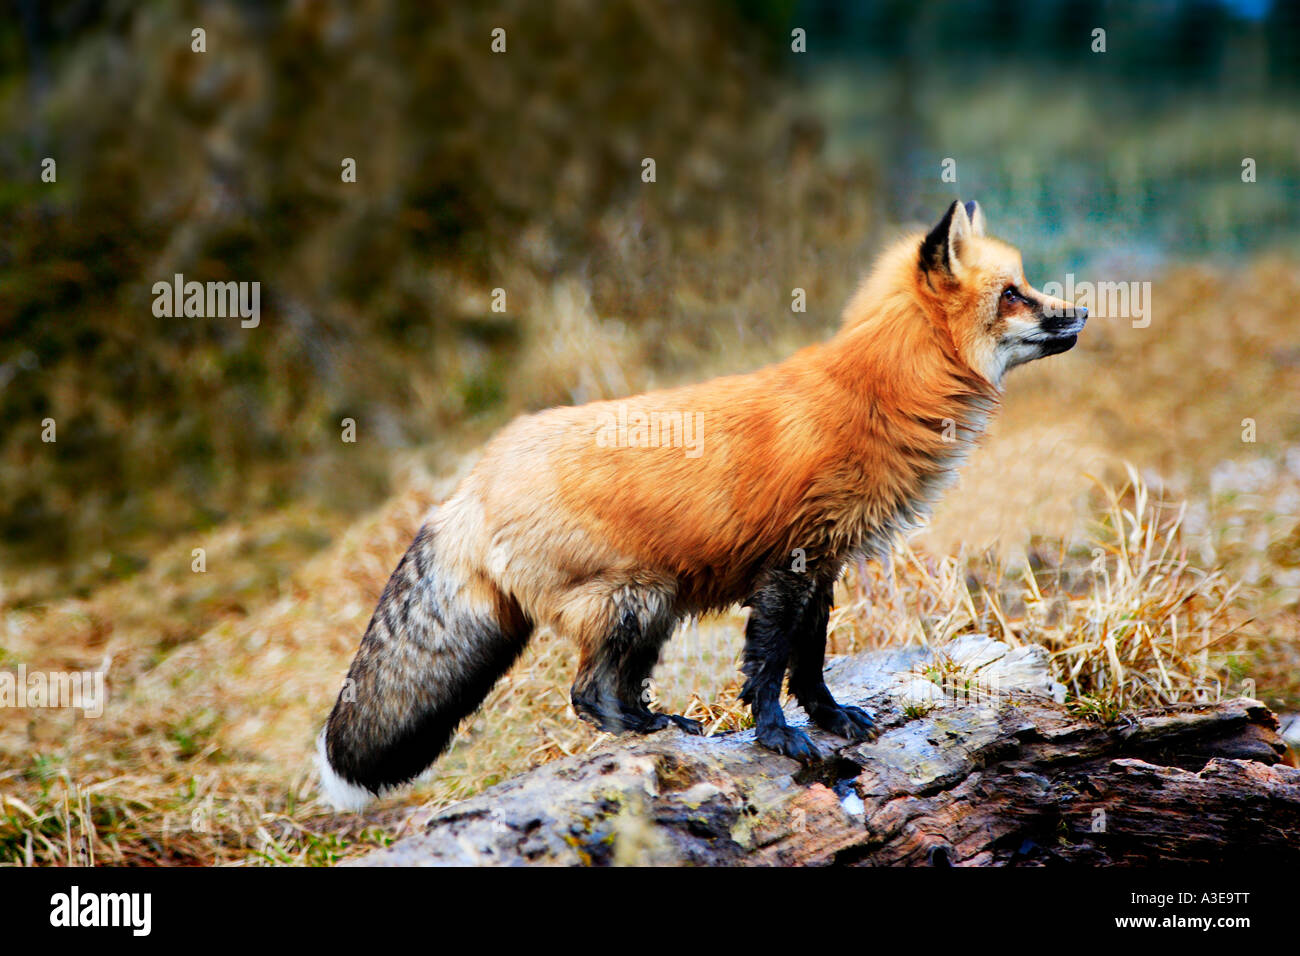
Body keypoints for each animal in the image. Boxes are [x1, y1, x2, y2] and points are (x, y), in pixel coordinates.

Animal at [316, 200, 1087, 810]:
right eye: (1013, 294)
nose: (1080, 311)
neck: (877, 392)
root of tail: (472, 480)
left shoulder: (823, 568)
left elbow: (811, 662)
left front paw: (830, 719)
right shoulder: (788, 567)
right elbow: (767, 668)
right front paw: (777, 737)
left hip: (654, 611)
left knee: (610, 687)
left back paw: (659, 724)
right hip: (636, 598)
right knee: (585, 694)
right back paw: (645, 732)